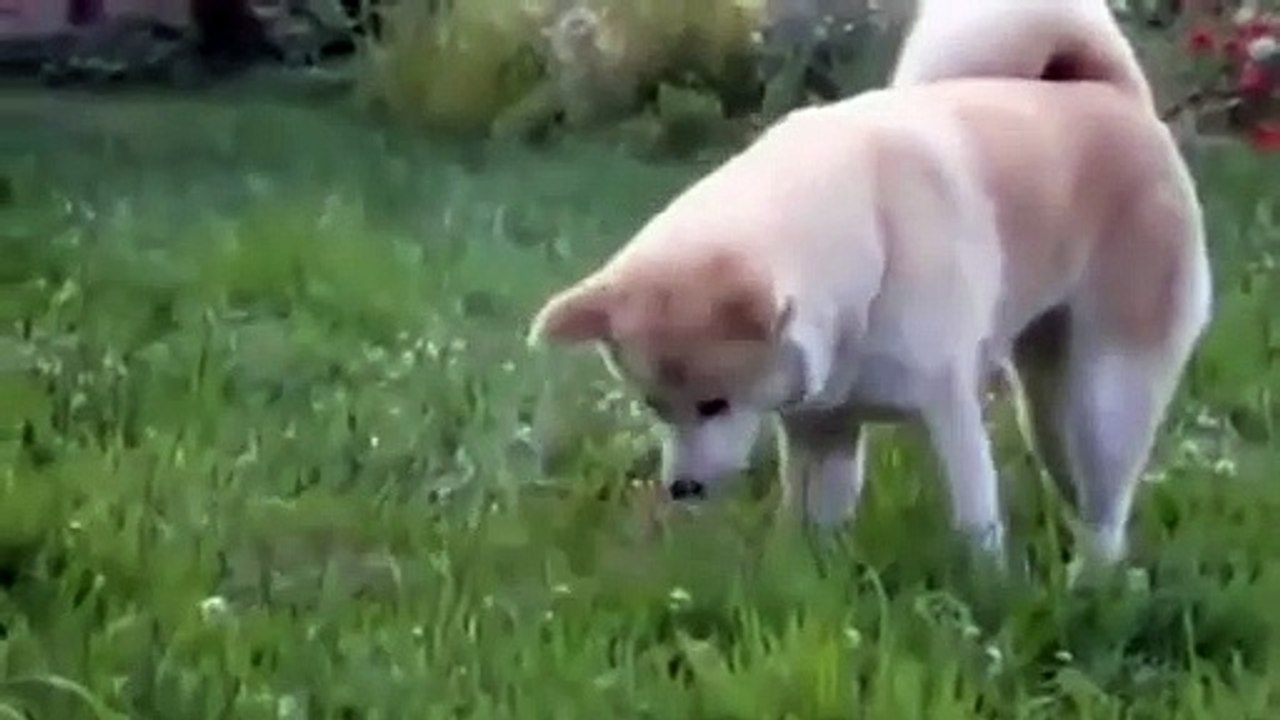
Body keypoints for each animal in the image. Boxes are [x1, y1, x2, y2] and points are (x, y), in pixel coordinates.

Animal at [527, 9, 1211, 569]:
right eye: (654, 407)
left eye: (715, 404)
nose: (684, 490)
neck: (870, 232)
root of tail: (1112, 93)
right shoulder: (820, 429)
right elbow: (812, 528)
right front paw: (805, 580)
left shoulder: (948, 408)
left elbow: (975, 519)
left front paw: (988, 587)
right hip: (1046, 399)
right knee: (1077, 478)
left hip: (1109, 394)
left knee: (1106, 503)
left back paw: (1093, 580)